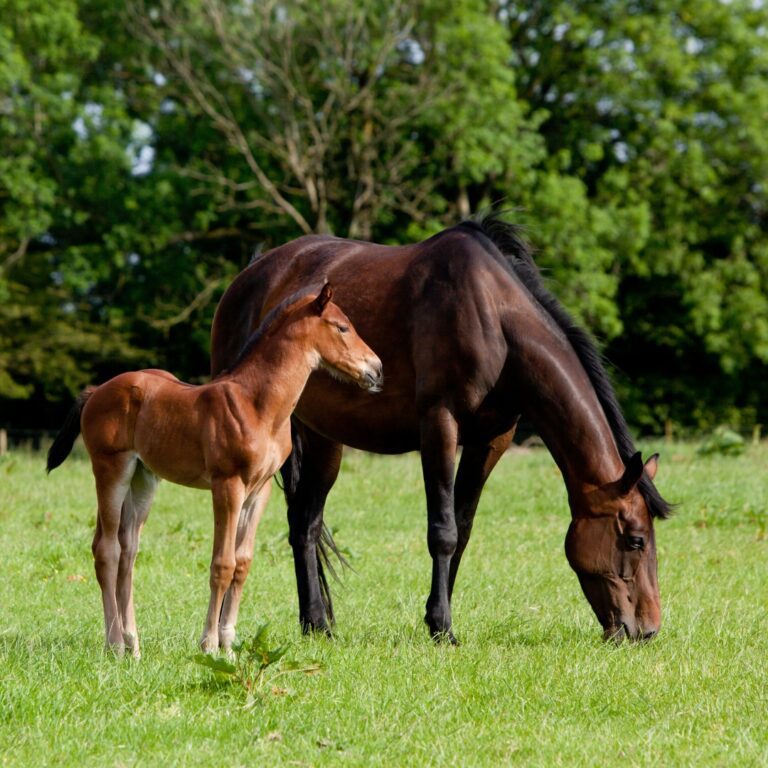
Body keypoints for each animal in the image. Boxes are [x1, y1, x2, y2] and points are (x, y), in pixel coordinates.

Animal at [46, 284, 383, 657]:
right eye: (342, 327)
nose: (377, 369)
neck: (258, 405)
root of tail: (95, 392)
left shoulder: (260, 490)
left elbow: (243, 563)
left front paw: (229, 643)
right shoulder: (228, 485)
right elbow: (223, 564)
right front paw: (209, 644)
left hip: (143, 478)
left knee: (128, 550)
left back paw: (133, 644)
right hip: (111, 469)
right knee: (107, 549)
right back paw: (116, 644)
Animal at [210, 215, 672, 644]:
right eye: (635, 540)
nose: (647, 630)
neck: (494, 318)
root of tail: (250, 274)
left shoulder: (492, 439)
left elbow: (462, 529)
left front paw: (438, 619)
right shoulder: (439, 424)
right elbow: (443, 531)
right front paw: (443, 627)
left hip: (325, 439)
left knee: (305, 523)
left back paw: (316, 624)